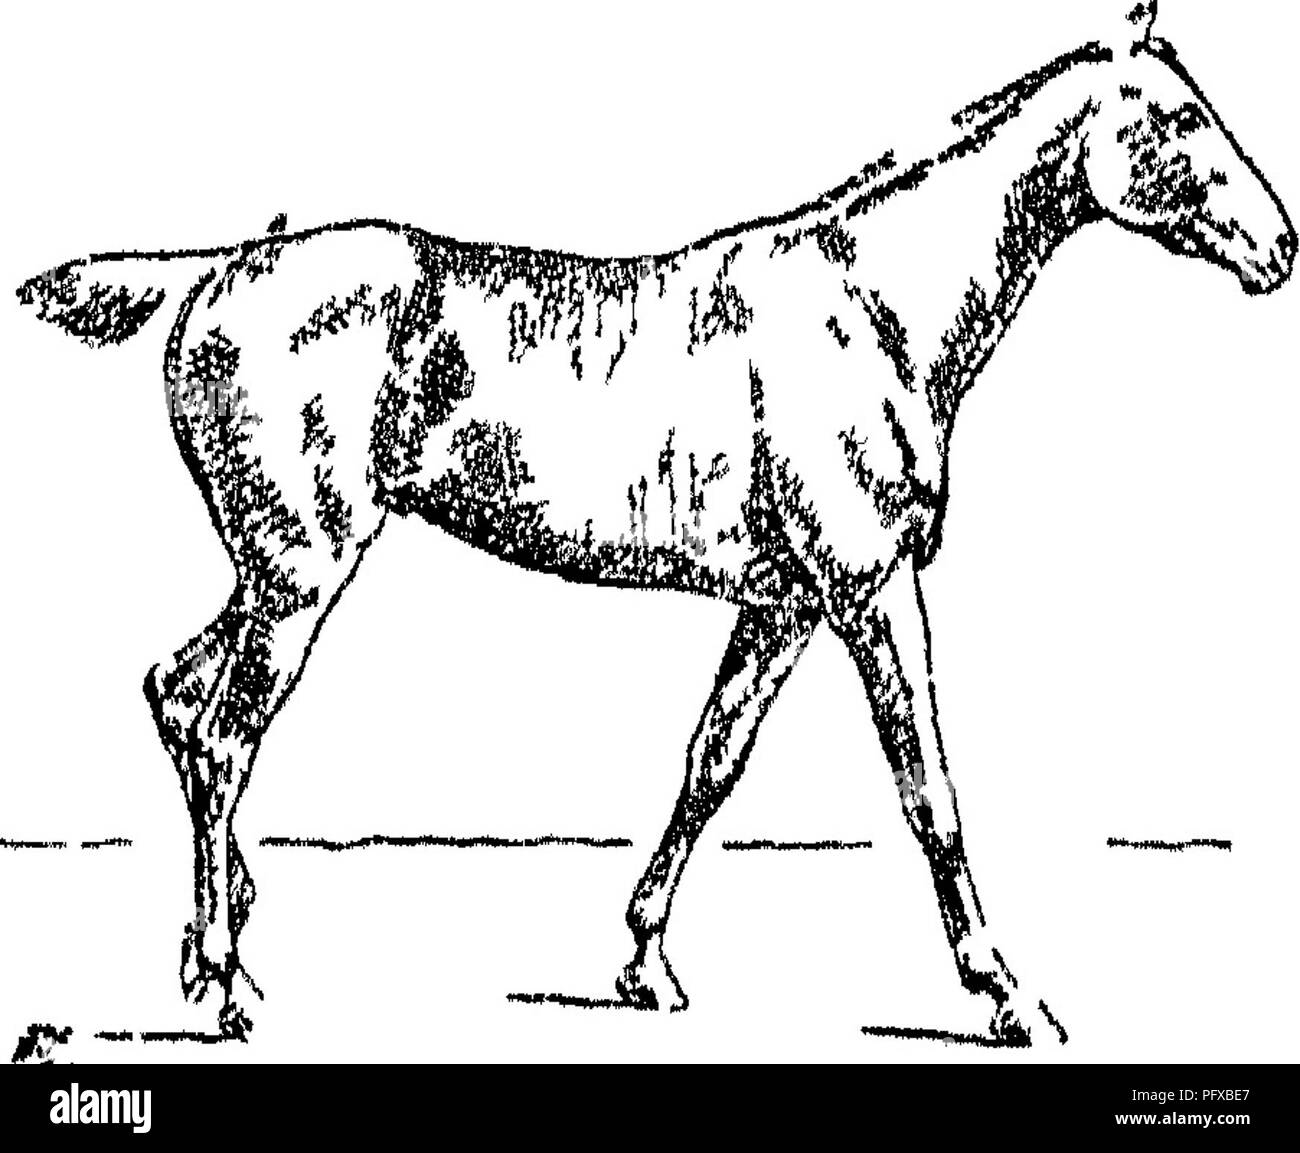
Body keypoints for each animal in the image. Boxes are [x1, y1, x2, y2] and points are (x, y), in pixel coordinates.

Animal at [16, 1, 1293, 1044]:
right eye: (1178, 117)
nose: (1279, 245)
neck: (873, 306)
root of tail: (213, 268)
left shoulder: (781, 605)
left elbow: (709, 762)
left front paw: (643, 964)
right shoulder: (869, 589)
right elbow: (927, 786)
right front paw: (1010, 994)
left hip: (272, 569)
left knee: (177, 694)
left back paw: (216, 948)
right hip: (302, 570)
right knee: (223, 732)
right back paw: (227, 985)